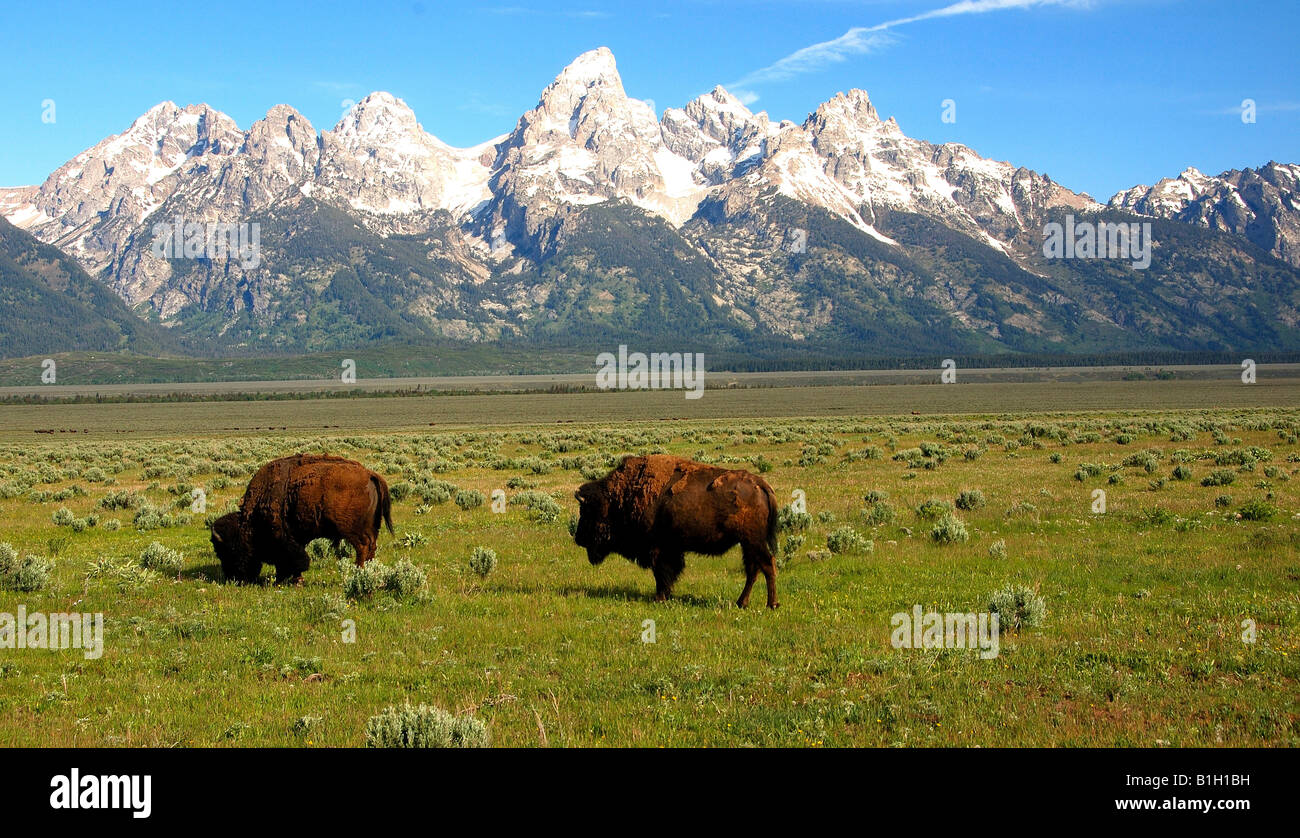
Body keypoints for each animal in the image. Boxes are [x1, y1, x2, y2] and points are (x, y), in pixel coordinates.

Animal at [211, 453, 393, 584]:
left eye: (227, 551)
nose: (233, 578)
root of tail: (370, 474)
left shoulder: (284, 538)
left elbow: (291, 559)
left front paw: (287, 580)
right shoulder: (298, 536)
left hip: (352, 530)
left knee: (362, 547)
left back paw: (358, 572)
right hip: (371, 527)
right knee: (371, 546)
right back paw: (369, 570)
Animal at [574, 454, 781, 608]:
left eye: (586, 511)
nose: (578, 538)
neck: (618, 499)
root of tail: (761, 484)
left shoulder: (658, 549)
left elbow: (661, 574)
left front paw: (659, 598)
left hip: (753, 541)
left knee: (767, 564)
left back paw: (771, 605)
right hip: (747, 543)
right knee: (753, 569)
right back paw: (742, 603)